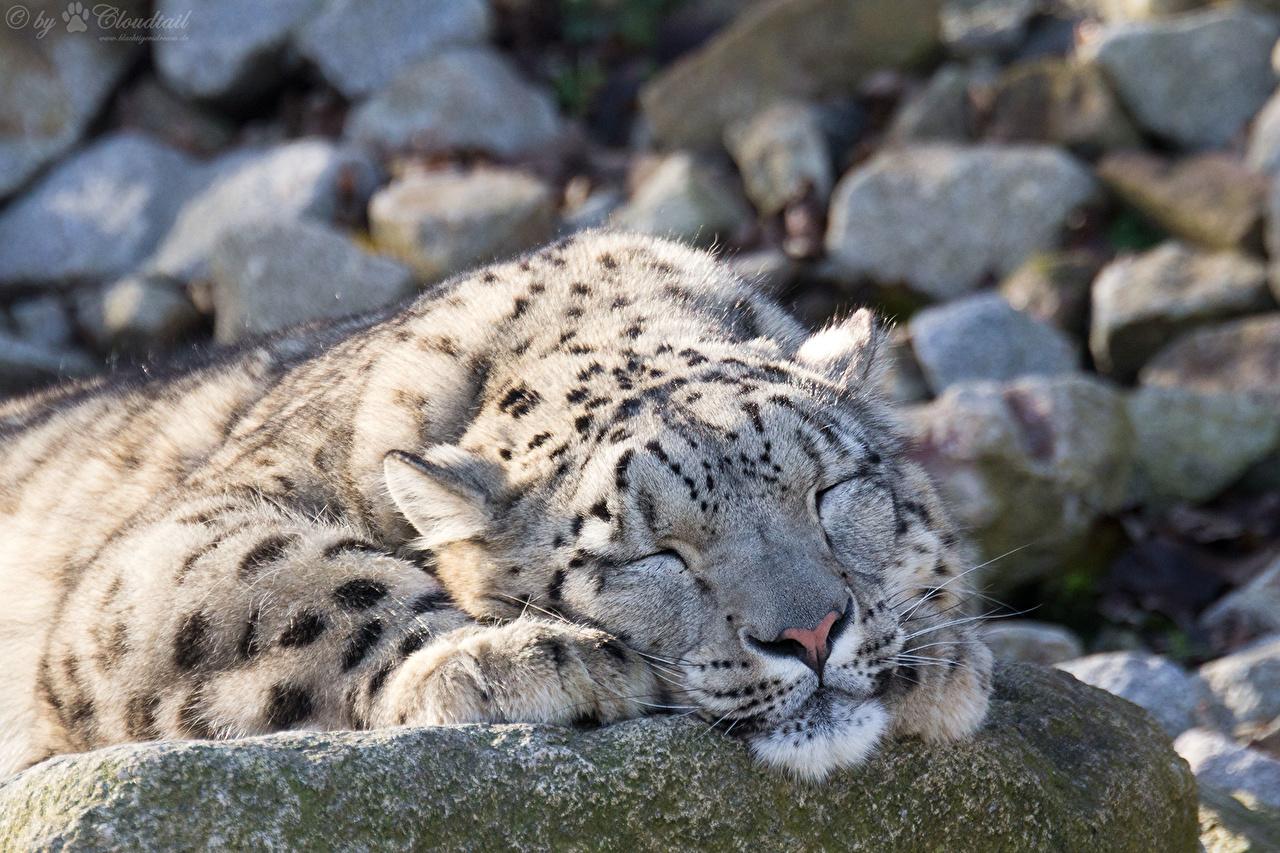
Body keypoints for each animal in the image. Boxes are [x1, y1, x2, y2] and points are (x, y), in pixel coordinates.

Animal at [0, 231, 992, 782]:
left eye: (828, 492)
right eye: (652, 556)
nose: (813, 633)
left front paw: (939, 657)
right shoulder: (150, 561)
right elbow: (301, 578)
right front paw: (527, 657)